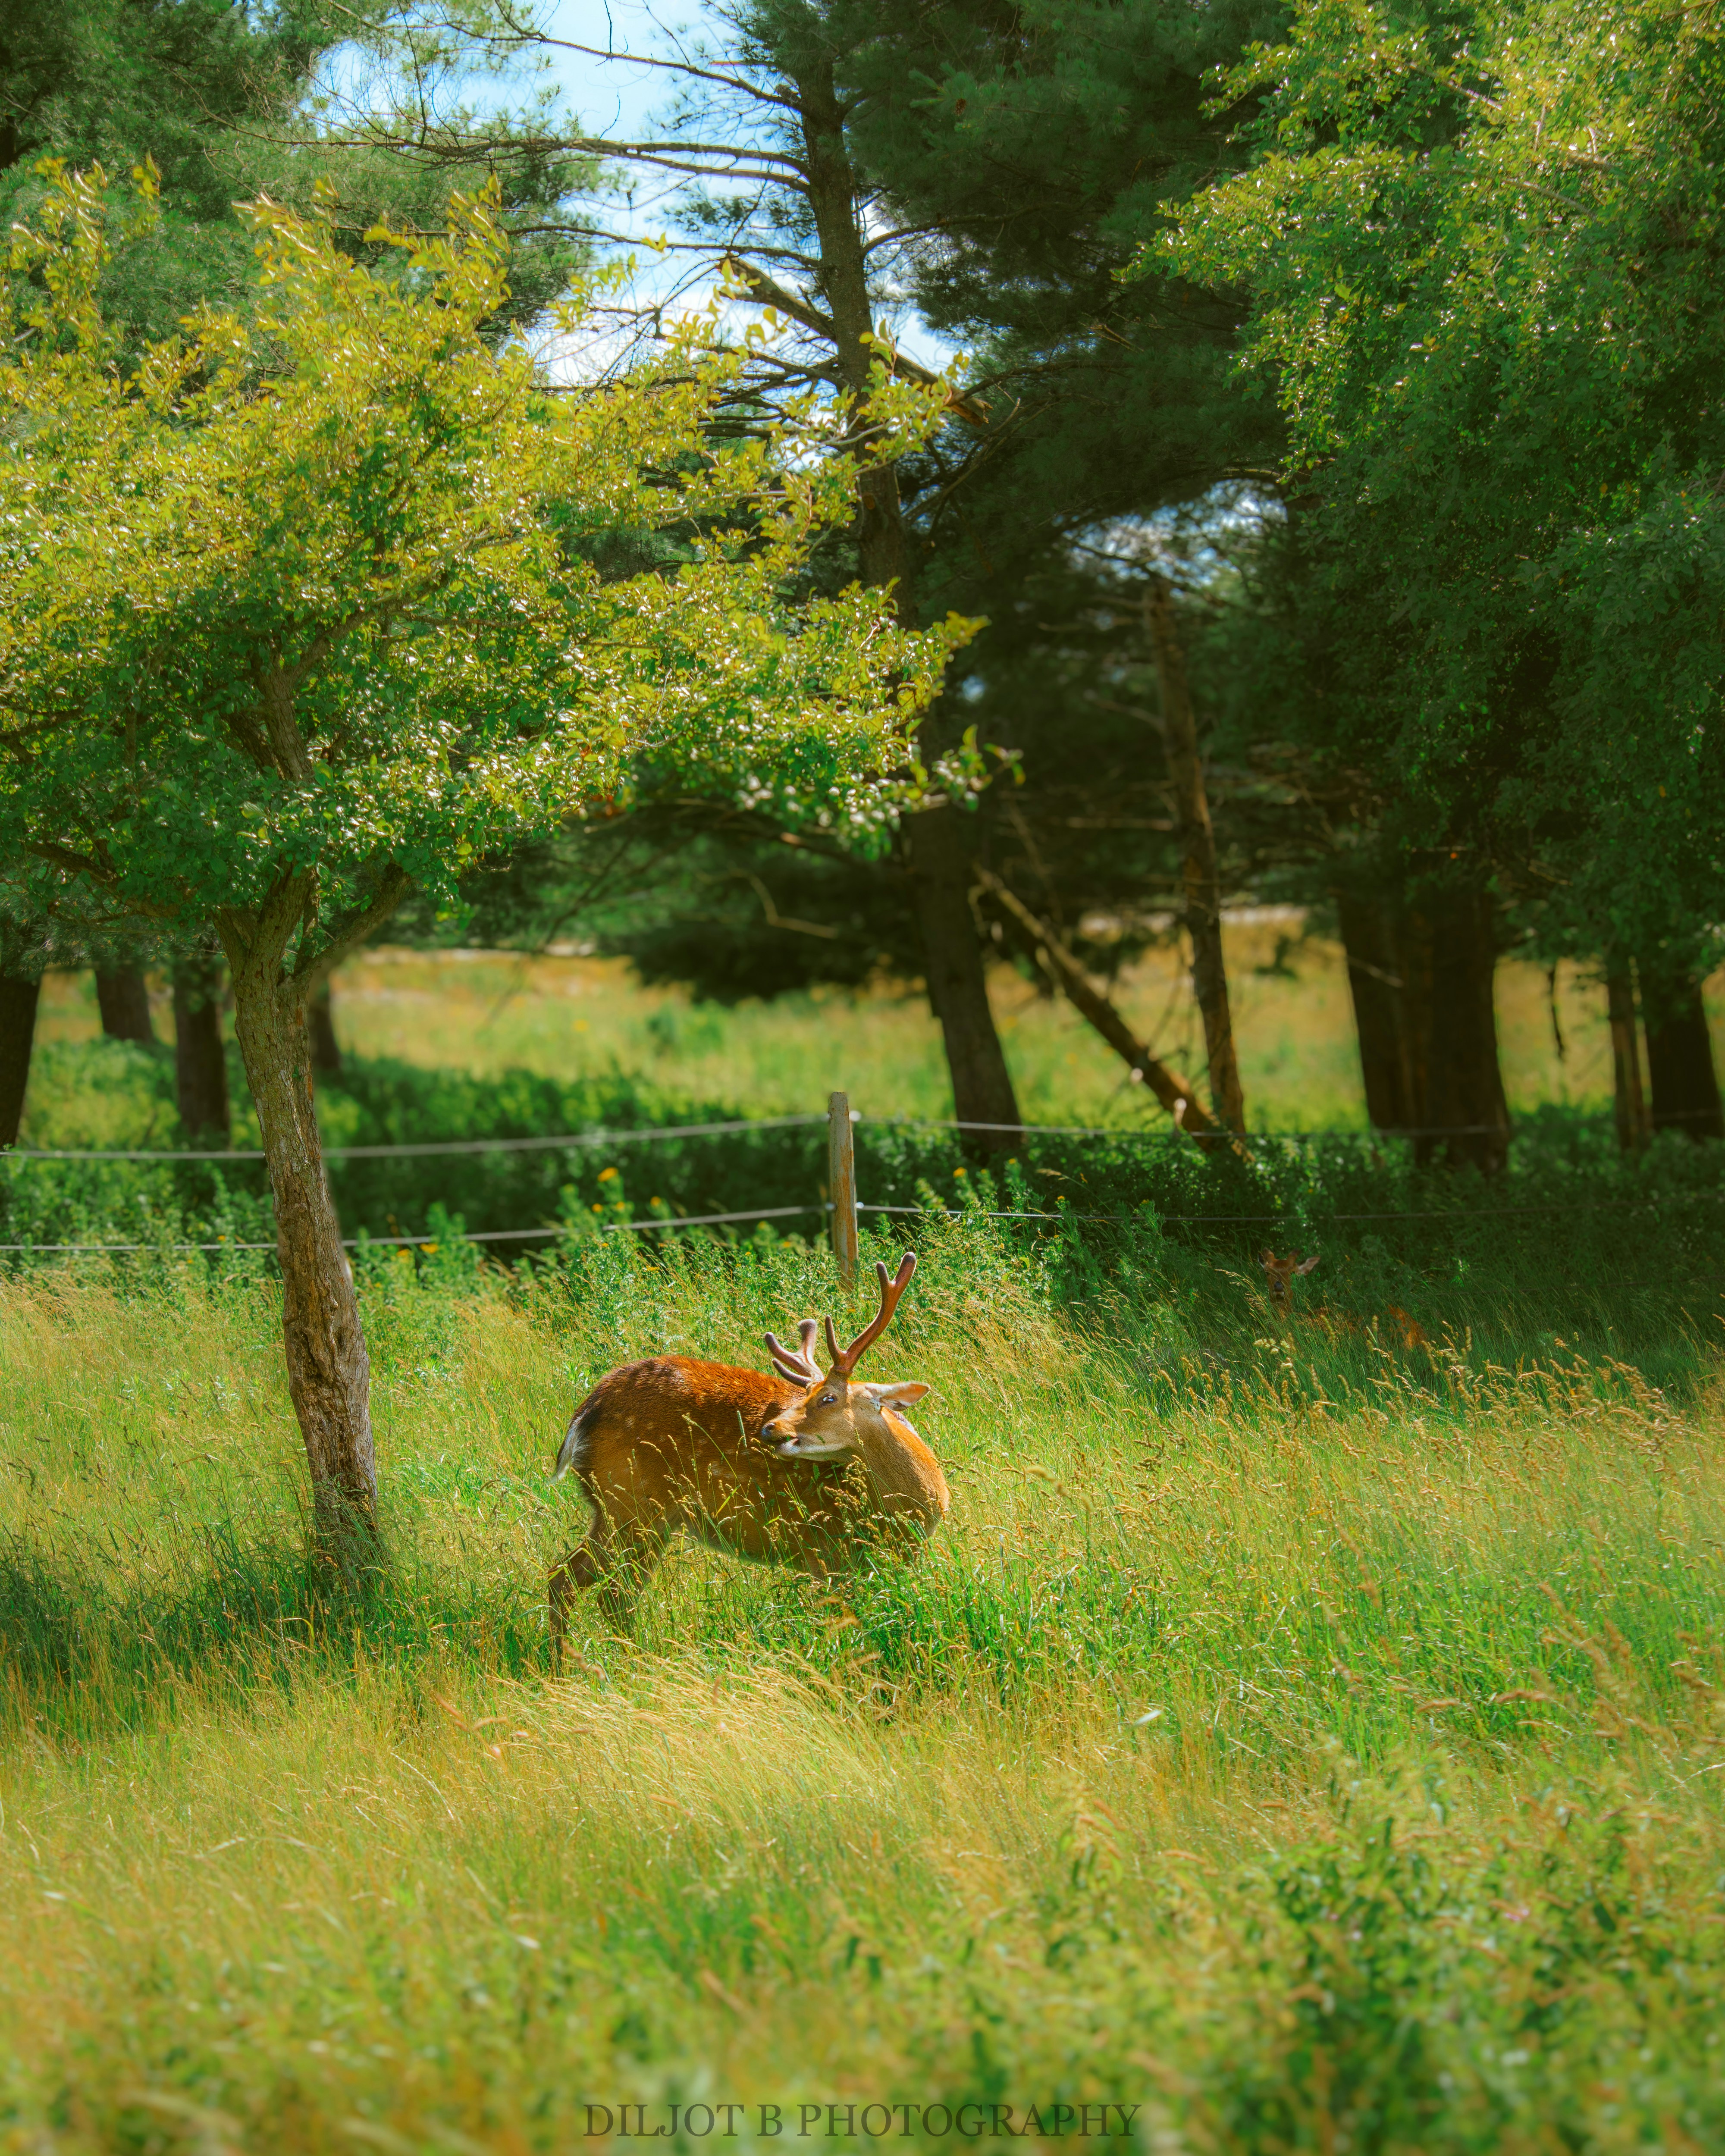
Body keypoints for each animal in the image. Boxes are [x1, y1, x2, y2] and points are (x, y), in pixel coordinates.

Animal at [548, 1252, 946, 1662]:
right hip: (629, 1501)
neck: (918, 1504)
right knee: (577, 1583)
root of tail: (585, 1413)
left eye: (828, 1398)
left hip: (646, 1517)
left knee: (607, 1590)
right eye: (804, 1395)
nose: (770, 1429)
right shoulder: (823, 1551)